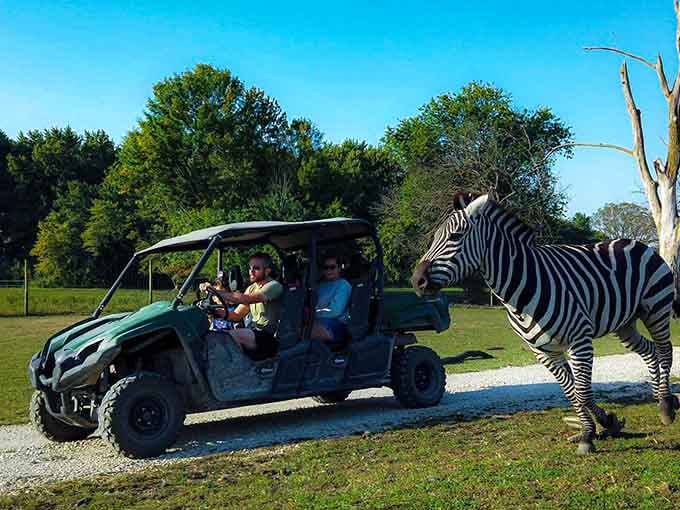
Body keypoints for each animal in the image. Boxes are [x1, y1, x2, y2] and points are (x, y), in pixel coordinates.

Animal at [411, 192, 680, 454]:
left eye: (455, 236)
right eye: (435, 237)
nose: (416, 281)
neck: (520, 291)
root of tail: (635, 243)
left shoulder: (580, 340)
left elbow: (582, 391)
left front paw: (589, 435)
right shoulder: (542, 351)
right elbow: (572, 391)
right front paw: (598, 426)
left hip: (656, 308)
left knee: (665, 350)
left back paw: (667, 406)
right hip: (624, 324)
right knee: (650, 351)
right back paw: (658, 396)